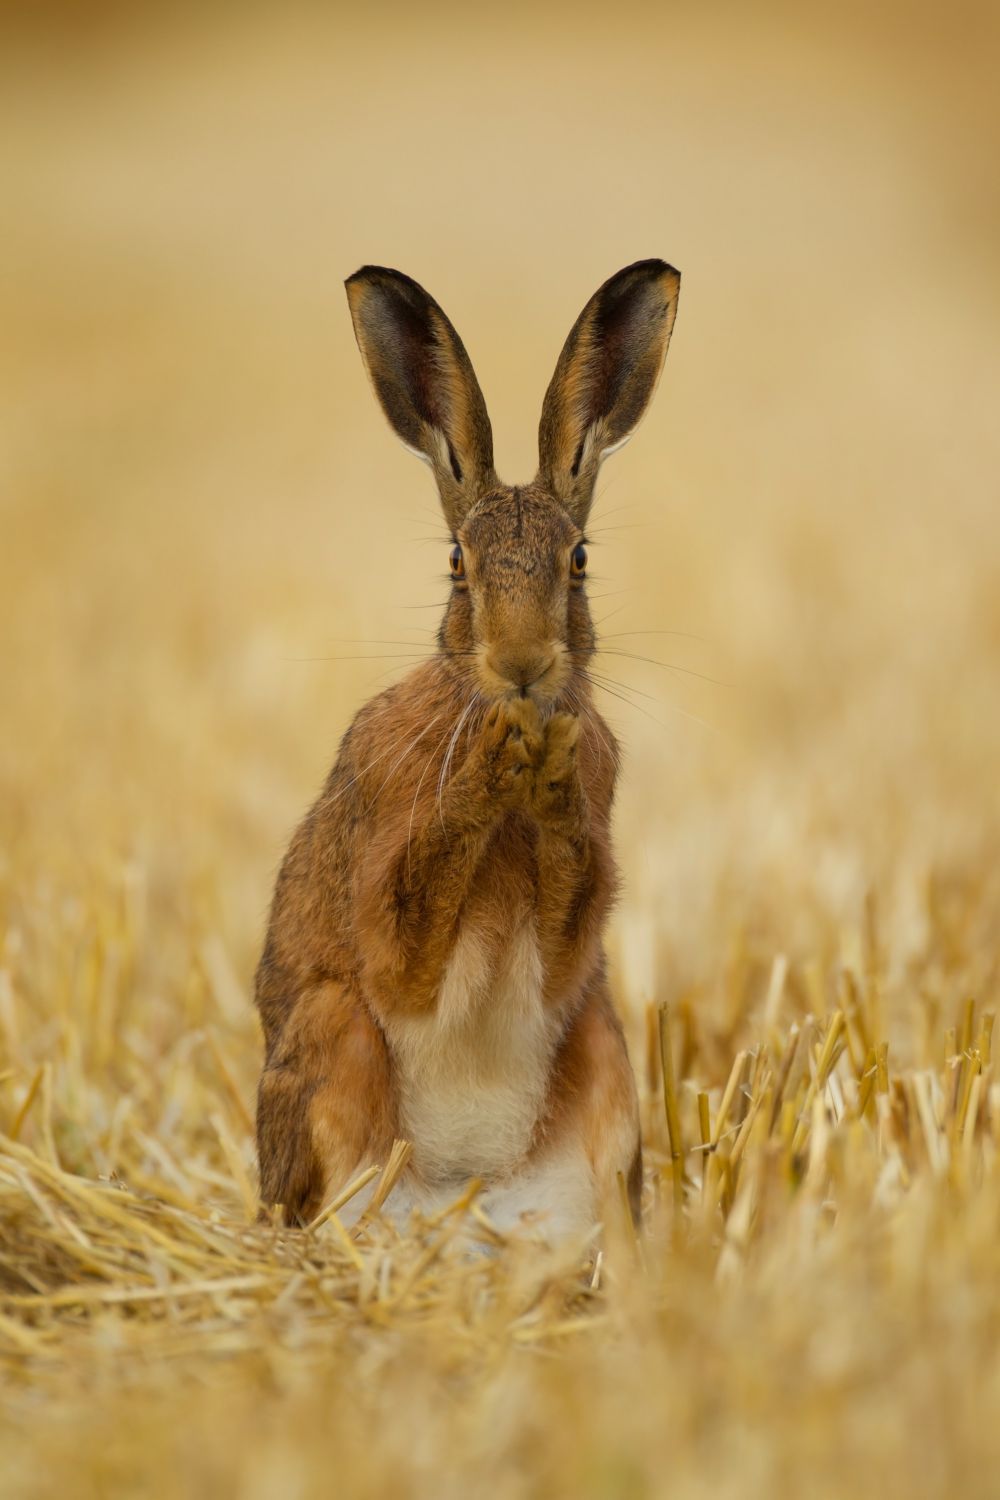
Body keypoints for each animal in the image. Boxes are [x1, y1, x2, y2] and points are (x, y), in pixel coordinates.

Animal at [255, 258, 681, 1236]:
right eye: (457, 563)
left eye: (580, 560)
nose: (522, 666)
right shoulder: (388, 915)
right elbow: (414, 918)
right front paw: (492, 765)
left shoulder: (575, 935)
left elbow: (567, 896)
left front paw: (549, 774)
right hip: (333, 1034)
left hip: (606, 1053)